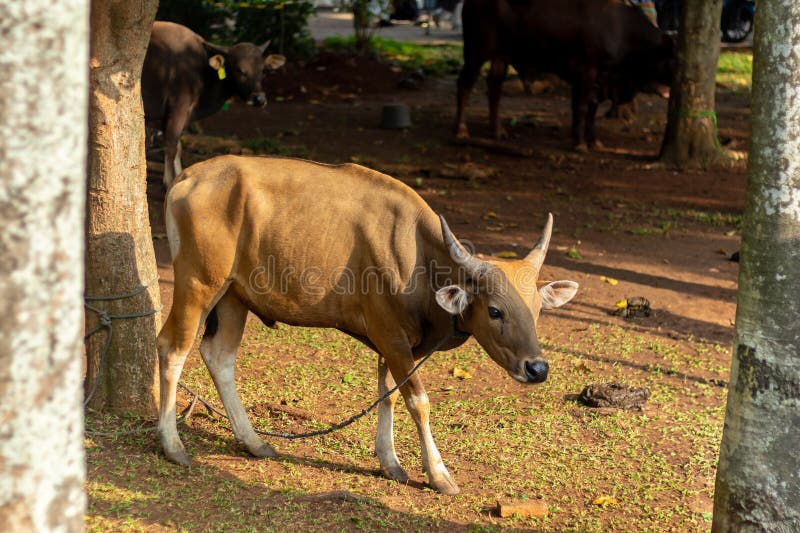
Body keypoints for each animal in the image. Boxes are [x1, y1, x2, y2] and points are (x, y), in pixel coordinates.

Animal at [142, 21, 285, 187]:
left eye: (263, 70)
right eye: (239, 69)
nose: (259, 99)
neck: (202, 70)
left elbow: (178, 147)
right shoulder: (178, 110)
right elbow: (171, 147)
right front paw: (169, 182)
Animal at [156, 155, 579, 495]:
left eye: (537, 310)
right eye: (494, 311)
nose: (537, 368)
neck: (416, 257)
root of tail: (187, 176)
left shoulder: (393, 341)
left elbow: (388, 394)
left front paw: (390, 462)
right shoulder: (391, 338)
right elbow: (418, 401)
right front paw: (438, 474)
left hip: (233, 296)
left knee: (219, 356)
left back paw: (254, 441)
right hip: (198, 283)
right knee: (172, 348)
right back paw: (172, 445)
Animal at [455, 0, 675, 150]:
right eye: (673, 58)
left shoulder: (600, 80)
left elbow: (592, 109)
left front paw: (594, 141)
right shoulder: (586, 72)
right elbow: (582, 107)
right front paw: (580, 143)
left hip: (501, 55)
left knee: (494, 86)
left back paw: (497, 131)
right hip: (476, 50)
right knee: (465, 84)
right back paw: (462, 130)